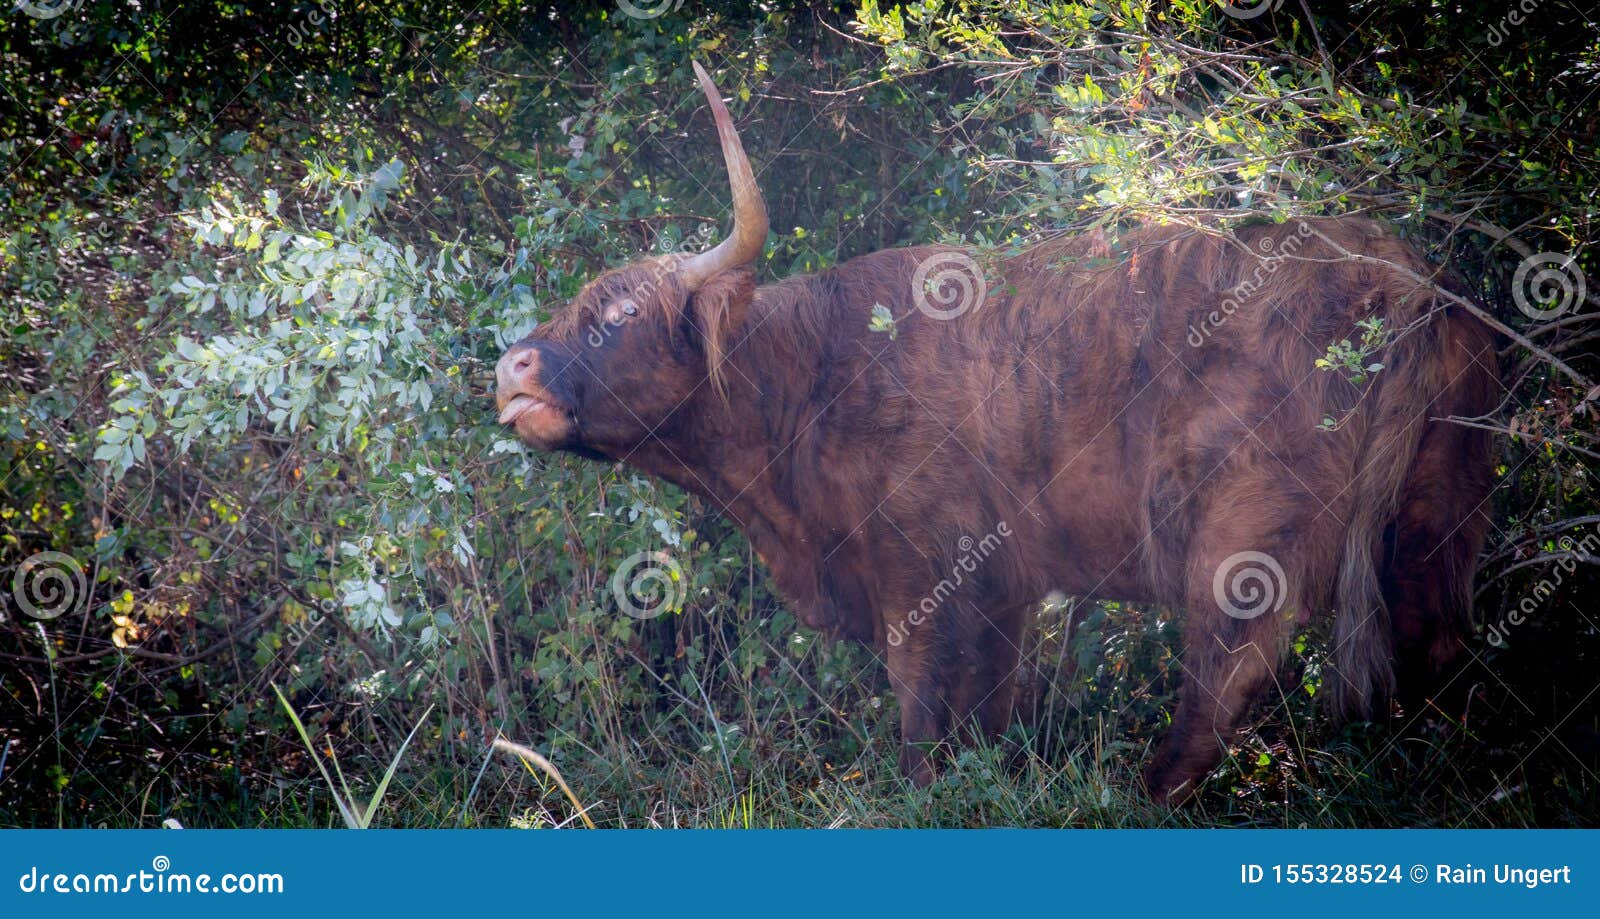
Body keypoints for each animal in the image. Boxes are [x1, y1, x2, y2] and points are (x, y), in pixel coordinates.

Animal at [494, 62, 1500, 803]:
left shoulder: (924, 575)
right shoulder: (1003, 588)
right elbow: (991, 710)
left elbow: (922, 714)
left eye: (618, 314)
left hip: (1243, 530)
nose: (511, 368)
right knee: (1439, 648)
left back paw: (1141, 798)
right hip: (1434, 511)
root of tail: (1401, 273)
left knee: (1225, 677)